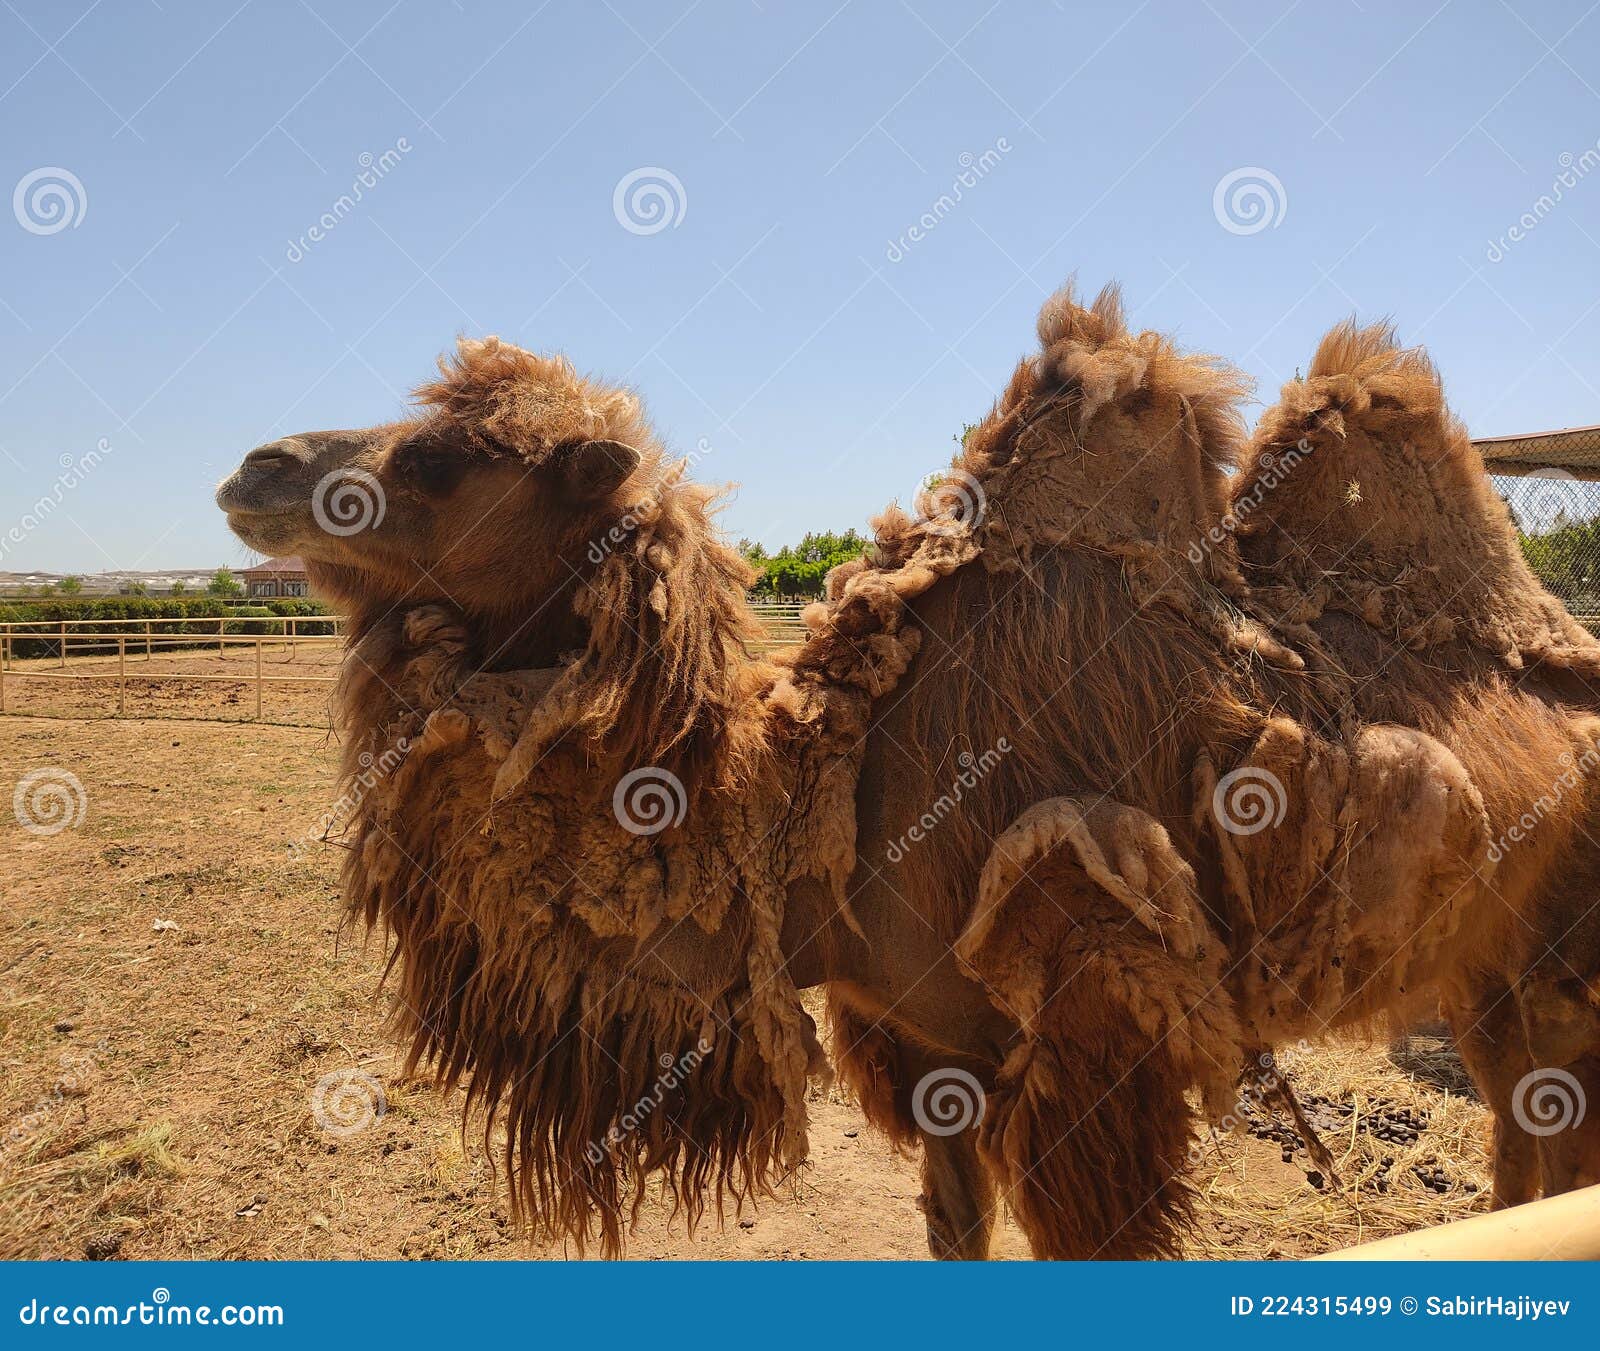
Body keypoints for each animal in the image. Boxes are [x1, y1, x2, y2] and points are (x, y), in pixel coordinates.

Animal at [215, 283, 1600, 1258]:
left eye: (441, 461)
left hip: (1556, 964)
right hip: (1485, 970)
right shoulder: (926, 1039)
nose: (254, 468)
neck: (819, 813)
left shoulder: (1096, 1025)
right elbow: (954, 1233)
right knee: (1524, 1138)